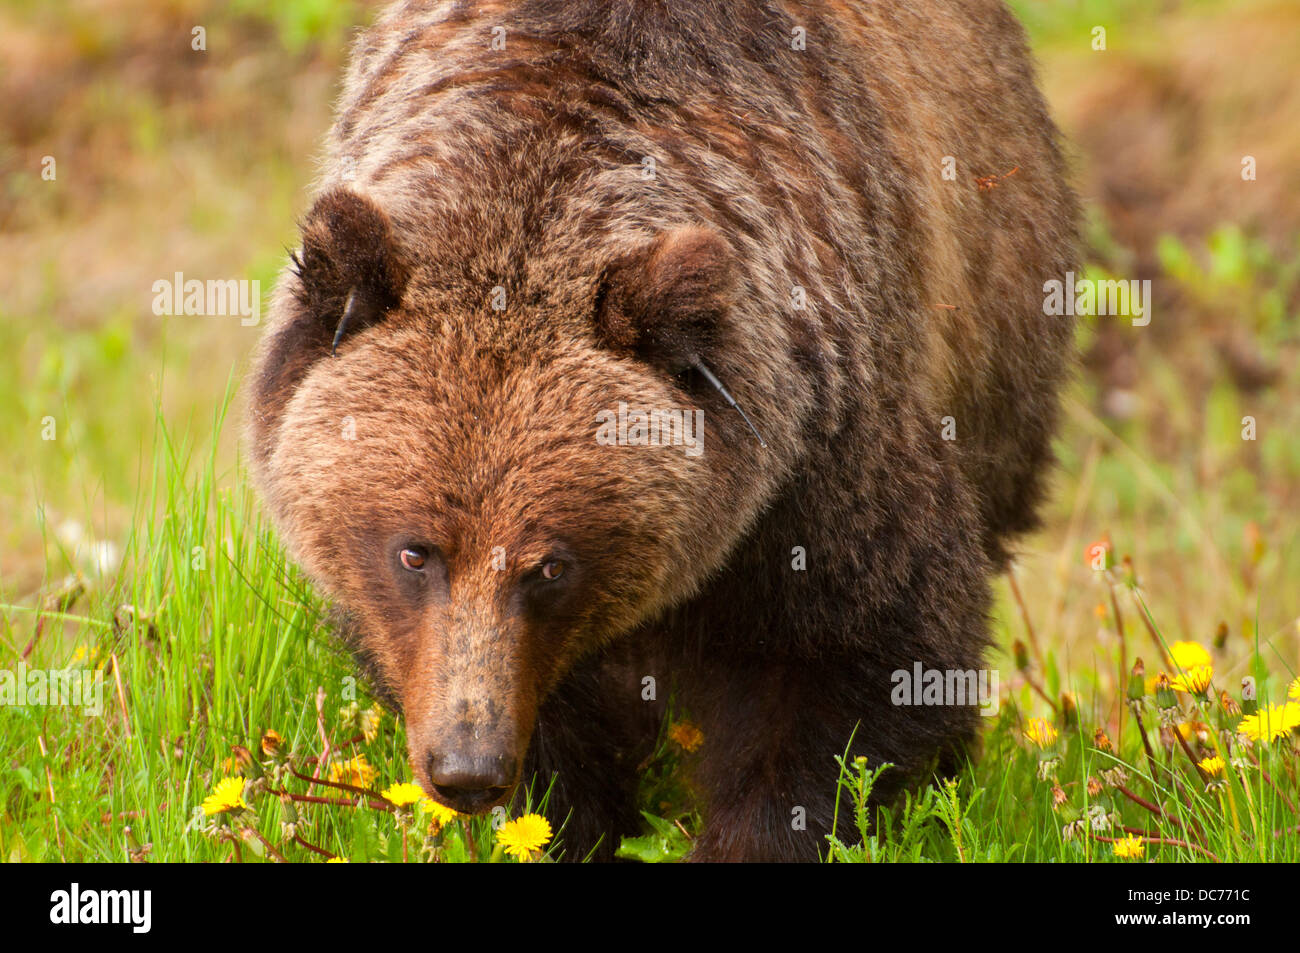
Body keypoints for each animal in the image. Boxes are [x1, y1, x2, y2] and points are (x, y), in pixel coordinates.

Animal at [246, 0, 1077, 861]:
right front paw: (561, 820)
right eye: (414, 551)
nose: (467, 767)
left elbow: (858, 669)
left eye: (552, 565)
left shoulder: (824, 457)